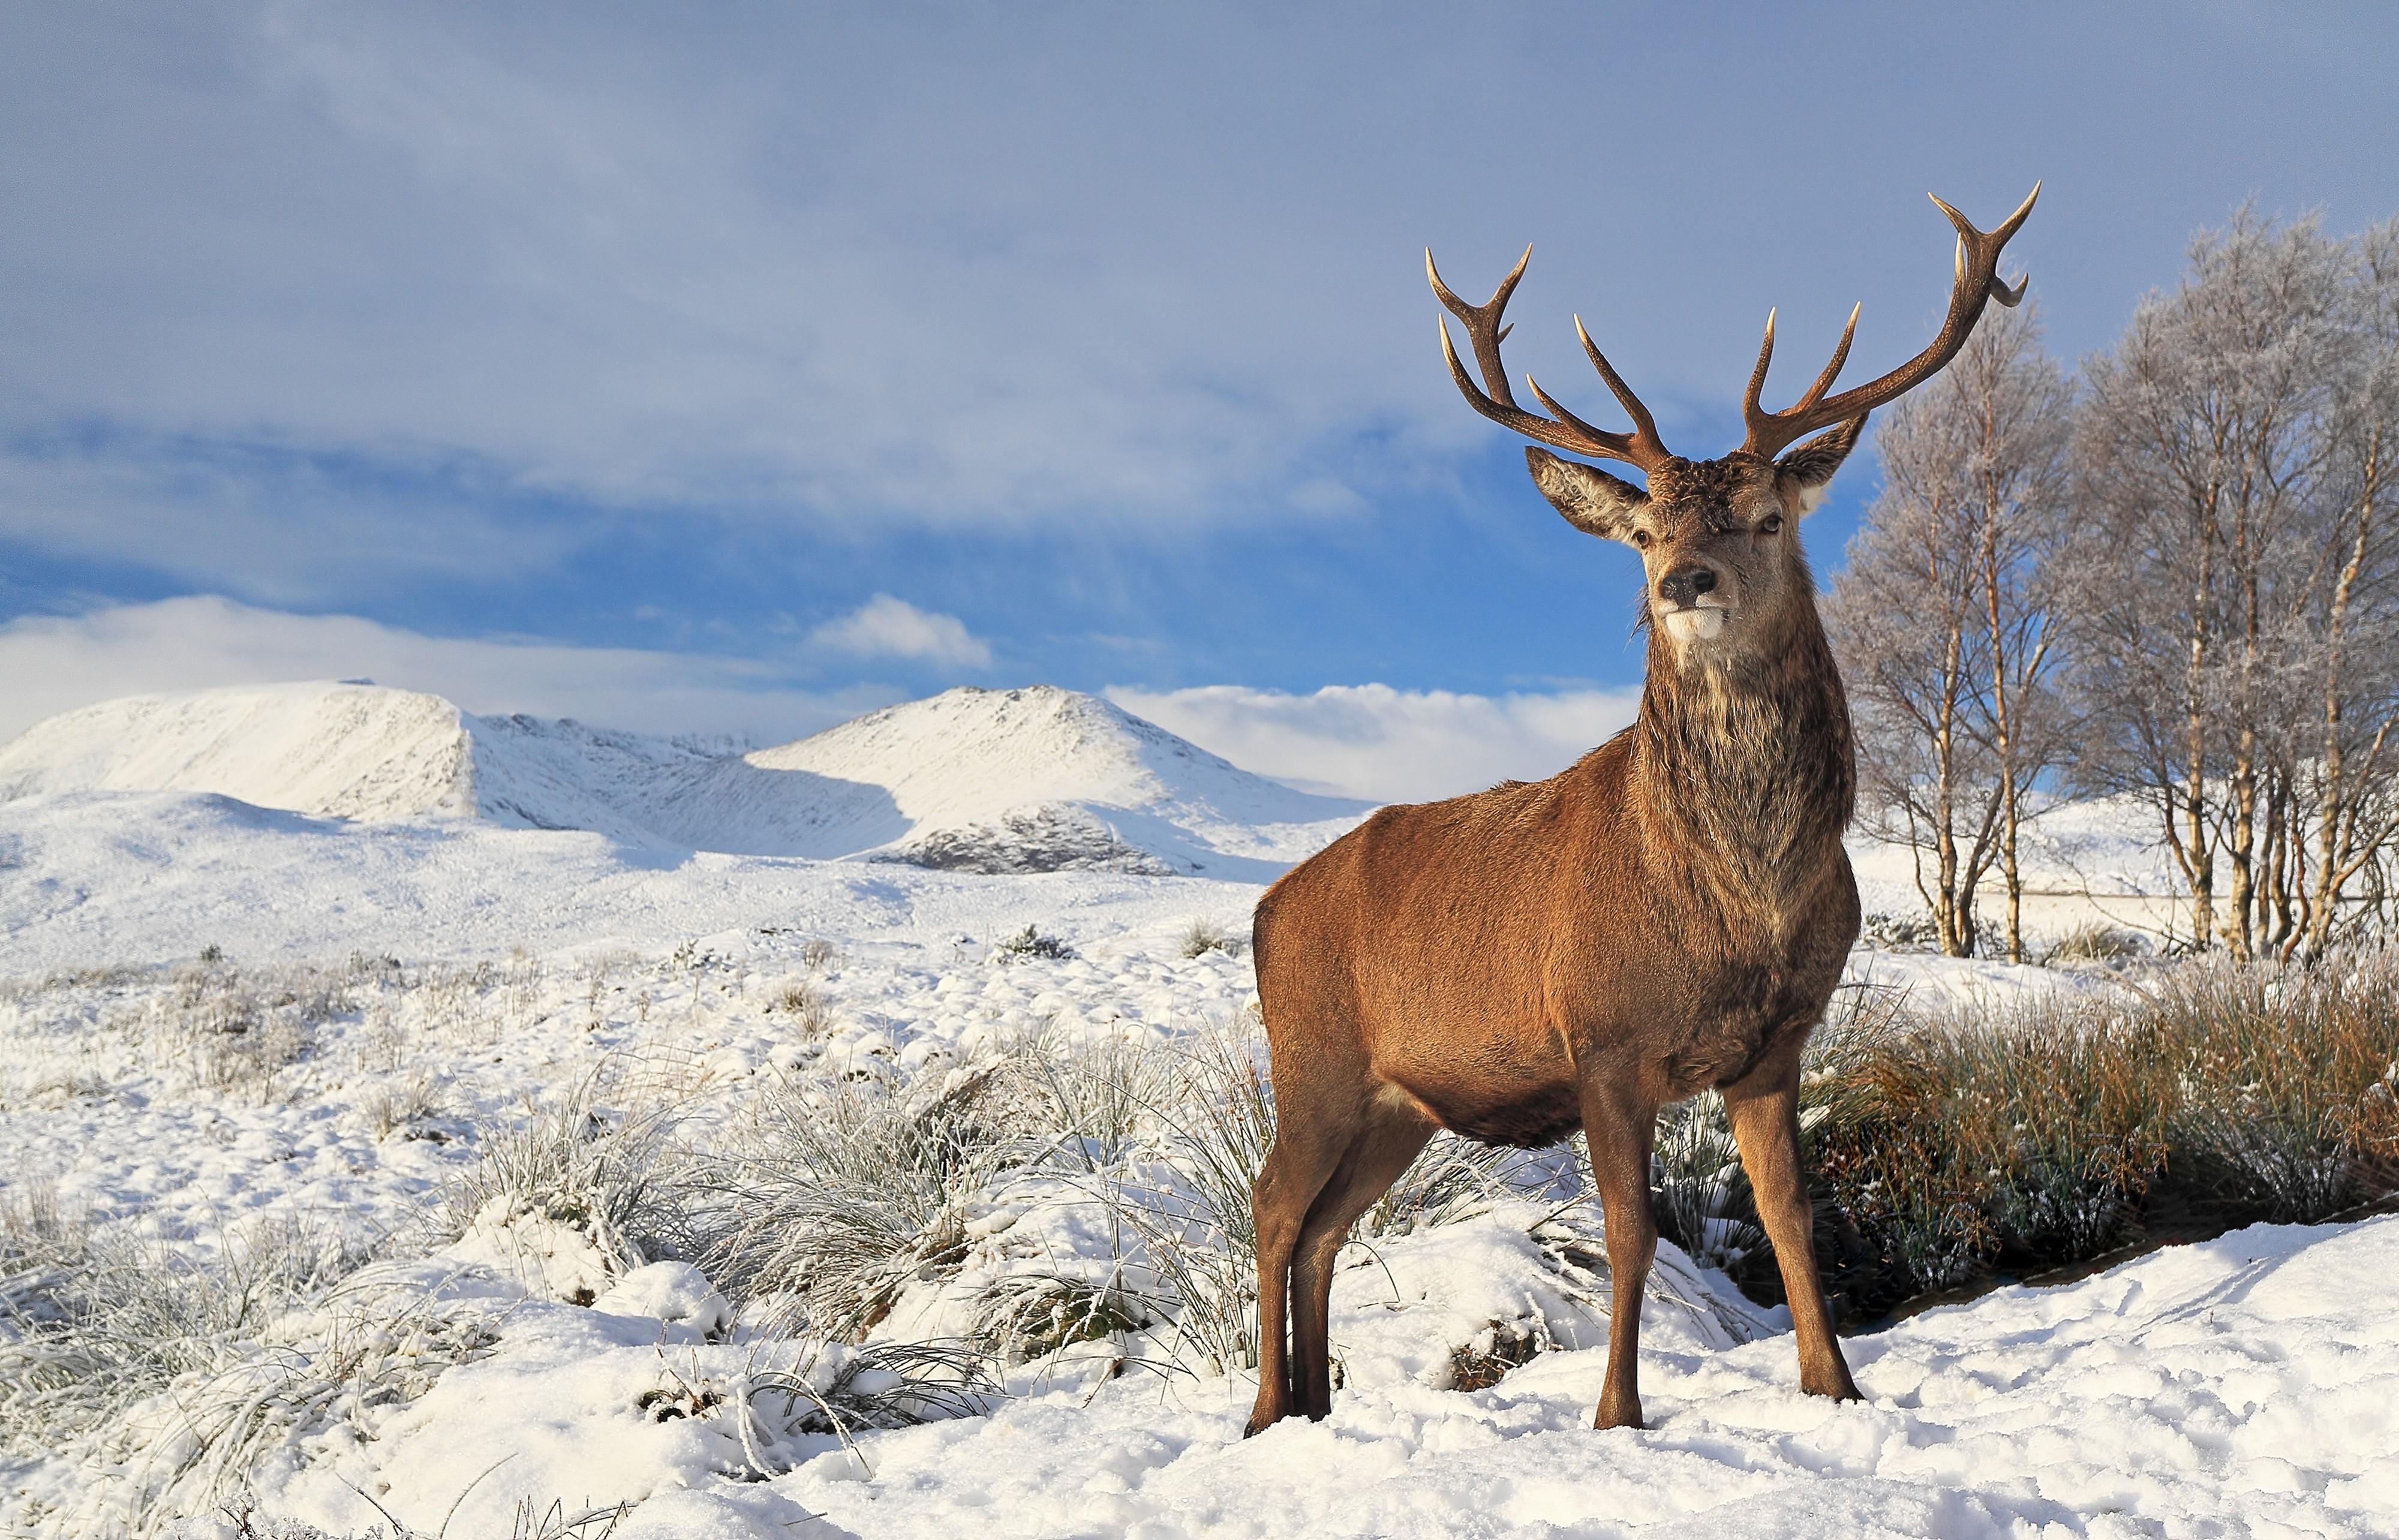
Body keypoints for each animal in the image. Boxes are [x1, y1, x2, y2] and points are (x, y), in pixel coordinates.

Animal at [1244, 186, 2039, 1437]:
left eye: (1768, 516)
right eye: (1647, 530)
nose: (1683, 583)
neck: (1743, 898)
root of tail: (1266, 910)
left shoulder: (1775, 1044)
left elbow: (1790, 1218)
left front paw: (1836, 1385)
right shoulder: (1603, 1040)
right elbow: (1631, 1235)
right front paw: (1617, 1412)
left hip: (1399, 1102)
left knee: (1326, 1225)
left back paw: (1318, 1408)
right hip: (1312, 1056)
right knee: (1275, 1206)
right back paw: (1266, 1409)